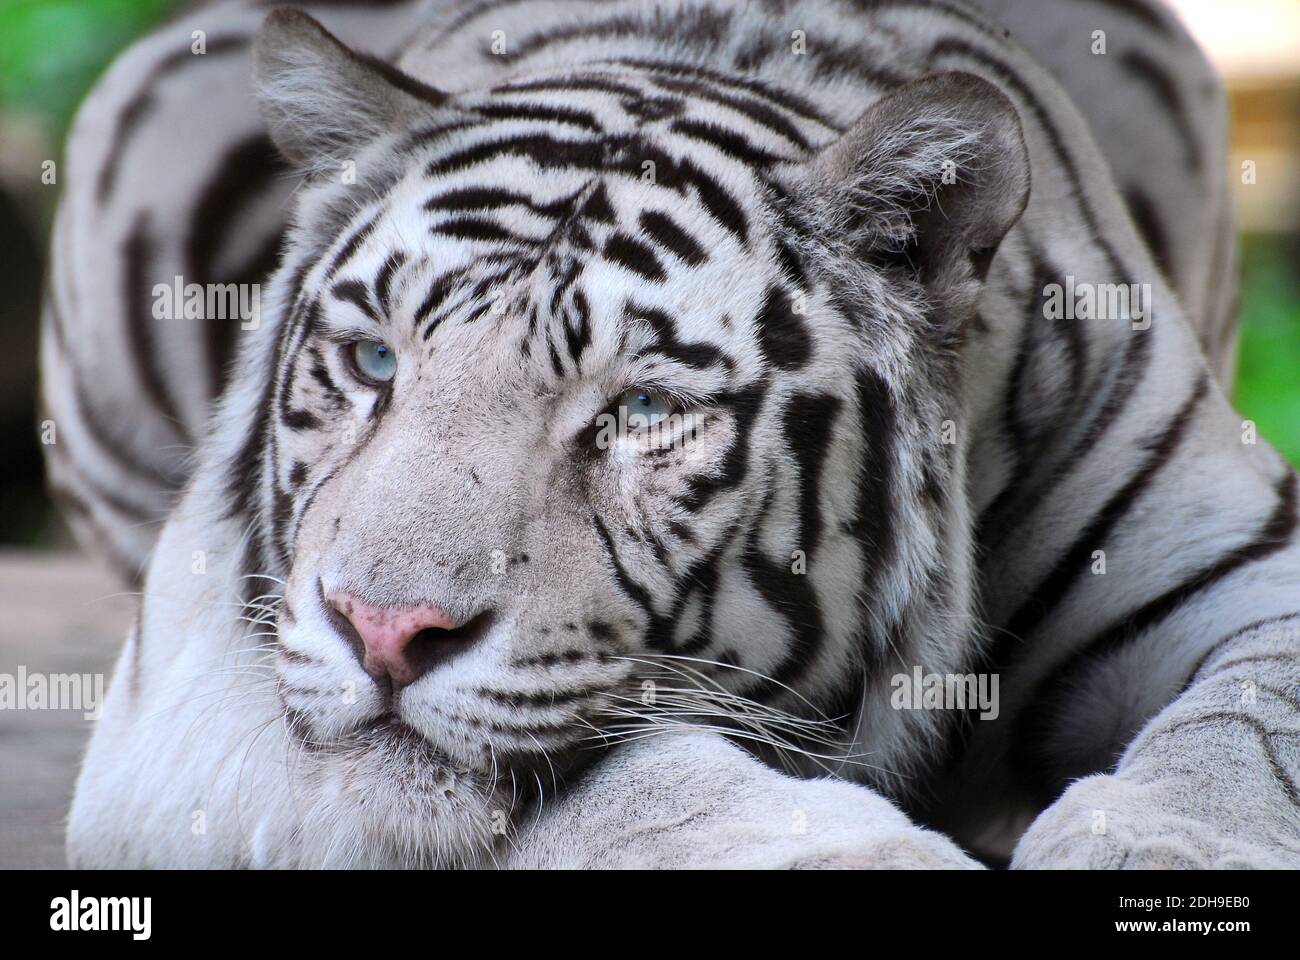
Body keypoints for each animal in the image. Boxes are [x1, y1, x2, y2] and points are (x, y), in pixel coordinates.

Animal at [47, 0, 1299, 869]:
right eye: (373, 363)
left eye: (640, 413)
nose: (383, 632)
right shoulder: (199, 681)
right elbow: (642, 783)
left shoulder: (1240, 565)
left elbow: (1246, 735)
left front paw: (1166, 844)